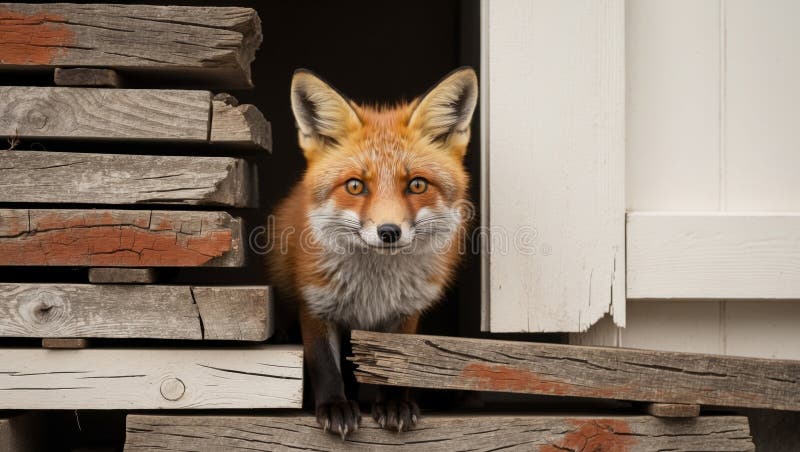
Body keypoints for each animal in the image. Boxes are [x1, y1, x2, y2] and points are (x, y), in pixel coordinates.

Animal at [269, 67, 477, 438]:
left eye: (417, 185)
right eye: (355, 186)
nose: (389, 232)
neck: (373, 287)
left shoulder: (406, 311)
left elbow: (397, 363)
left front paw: (394, 404)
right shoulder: (316, 303)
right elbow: (324, 364)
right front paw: (335, 406)